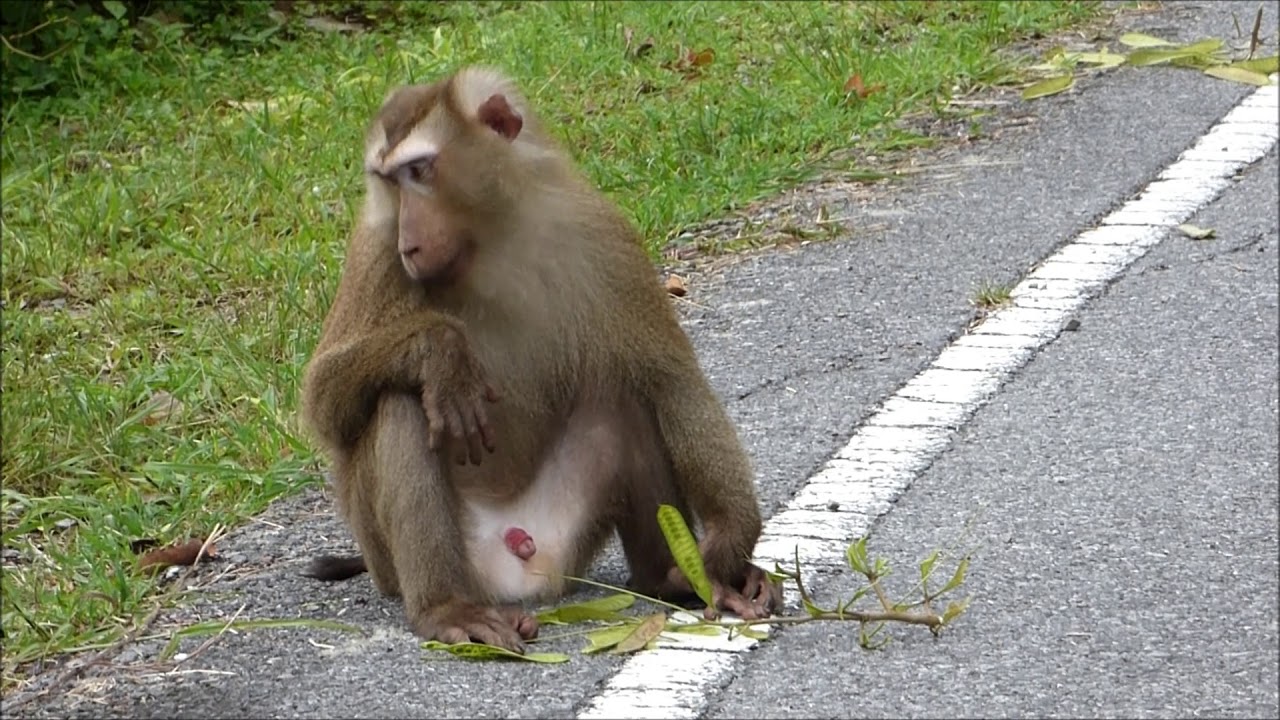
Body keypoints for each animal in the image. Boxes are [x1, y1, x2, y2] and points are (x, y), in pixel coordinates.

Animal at [299, 65, 781, 653]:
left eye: (419, 170)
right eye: (387, 181)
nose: (409, 241)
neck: (485, 241)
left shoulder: (599, 232)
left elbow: (670, 379)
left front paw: (730, 544)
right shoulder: (375, 249)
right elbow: (324, 401)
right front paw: (439, 350)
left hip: (564, 535)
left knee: (621, 397)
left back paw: (668, 577)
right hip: (404, 560)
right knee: (400, 401)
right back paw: (445, 607)